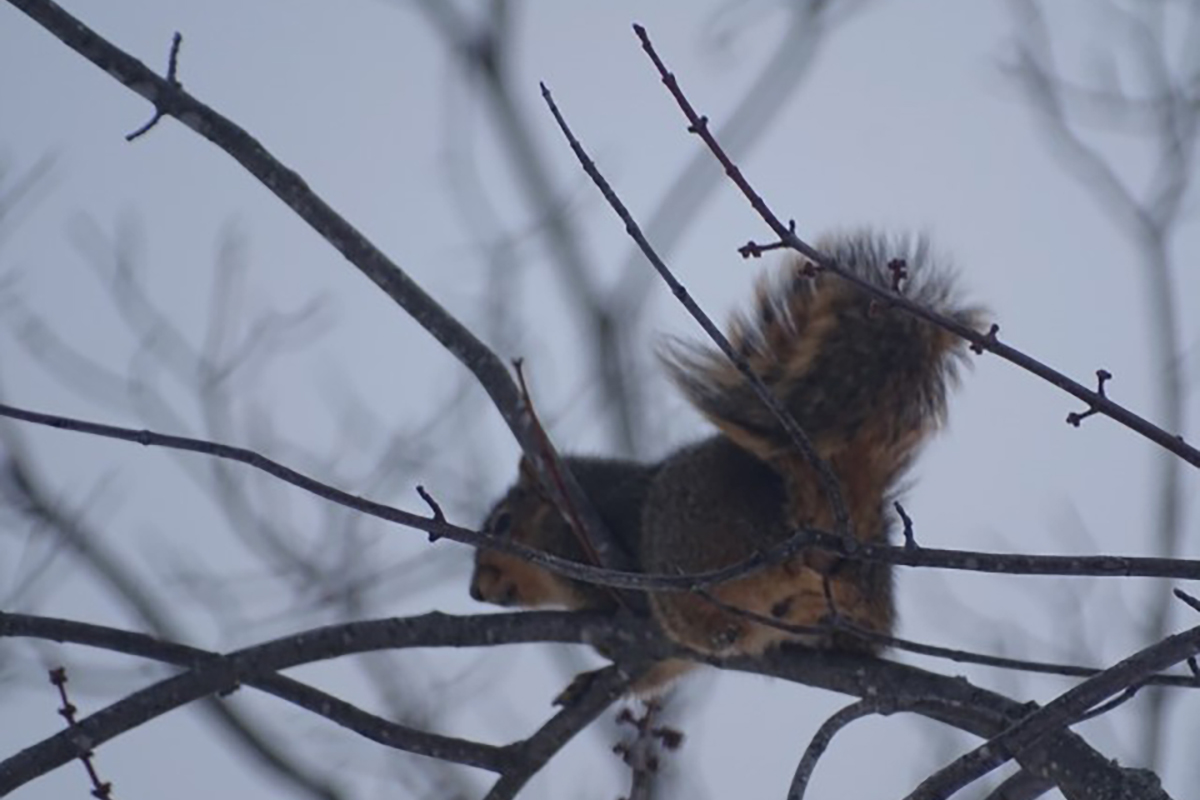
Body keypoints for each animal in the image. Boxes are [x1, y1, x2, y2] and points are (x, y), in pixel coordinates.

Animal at [470, 230, 982, 695]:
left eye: (501, 523)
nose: (475, 591)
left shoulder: (577, 547)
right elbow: (655, 671)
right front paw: (591, 682)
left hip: (687, 557)